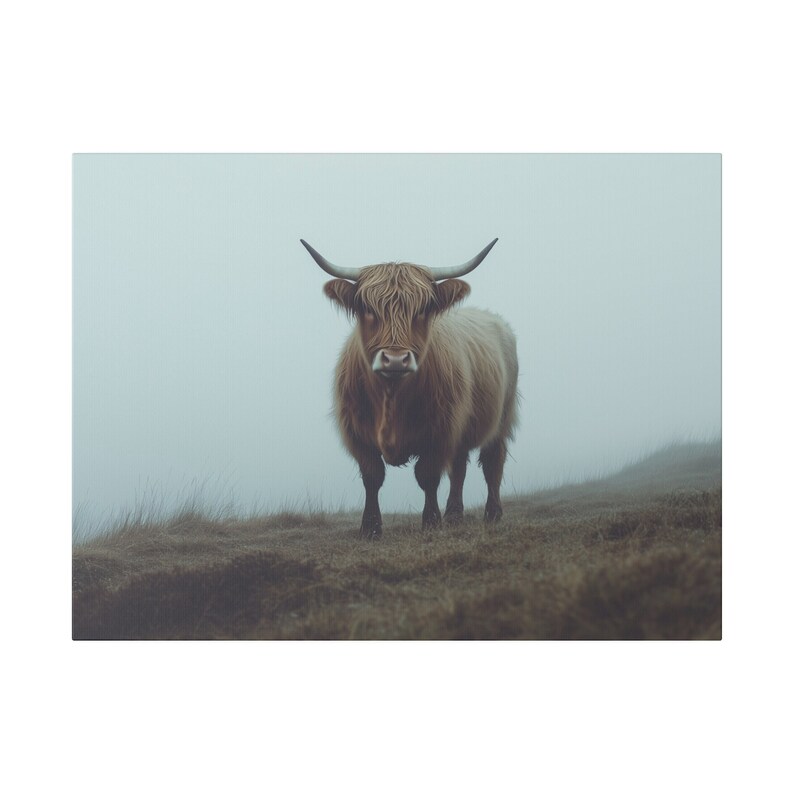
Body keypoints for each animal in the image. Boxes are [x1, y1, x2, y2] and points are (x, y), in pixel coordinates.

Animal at [302, 238, 519, 539]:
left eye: (423, 309)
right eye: (367, 308)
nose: (395, 359)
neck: (391, 395)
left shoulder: (440, 430)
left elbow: (427, 475)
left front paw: (431, 521)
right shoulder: (356, 432)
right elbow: (372, 476)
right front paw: (370, 528)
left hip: (501, 419)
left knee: (492, 463)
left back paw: (492, 513)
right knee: (459, 467)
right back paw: (454, 515)